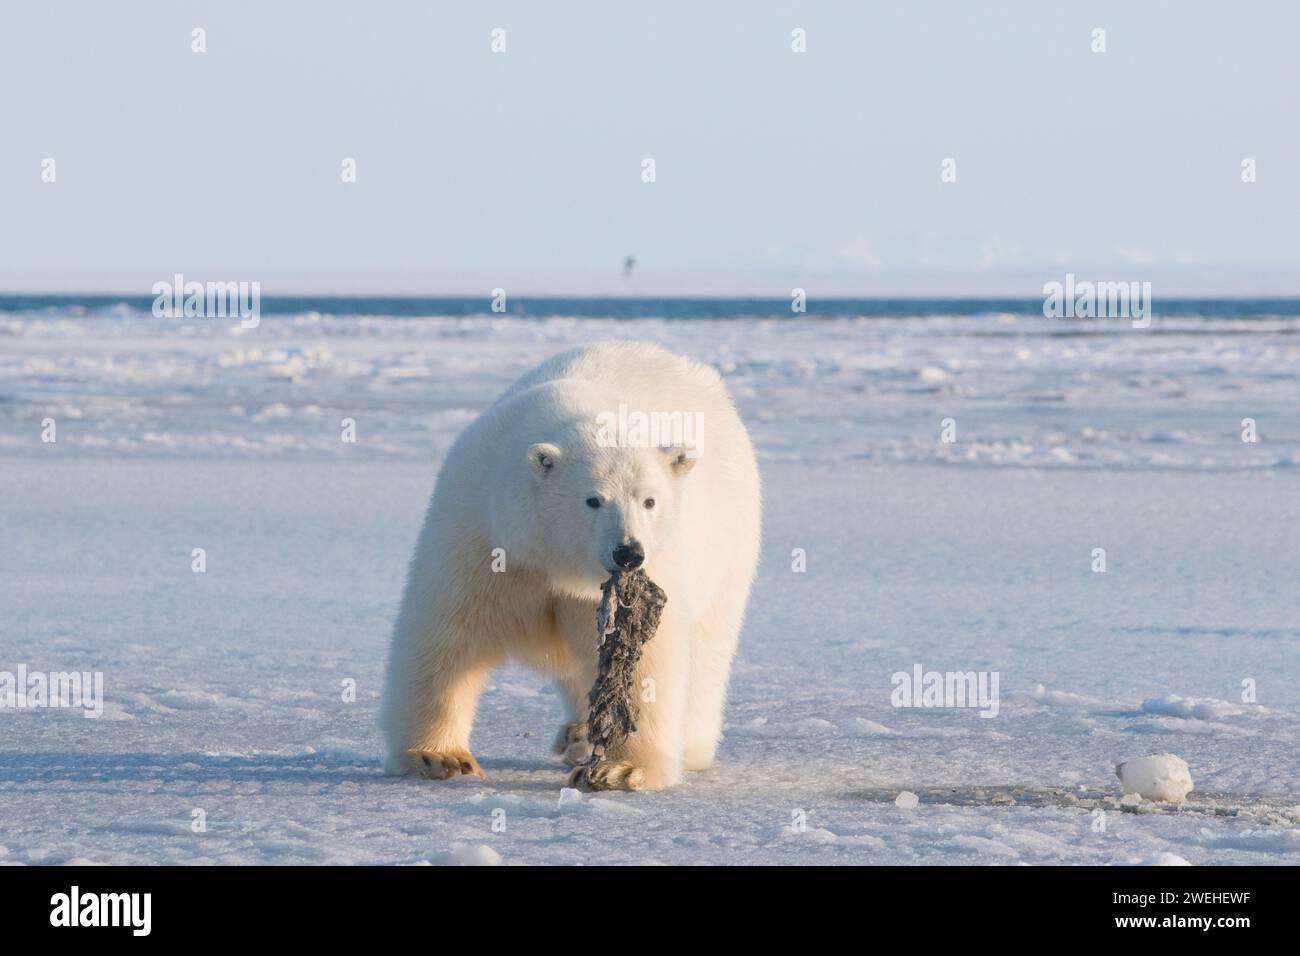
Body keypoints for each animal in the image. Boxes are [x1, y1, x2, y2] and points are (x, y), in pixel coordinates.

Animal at [380, 341, 761, 791]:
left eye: (649, 500)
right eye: (593, 499)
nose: (628, 552)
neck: (557, 562)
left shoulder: (658, 564)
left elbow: (644, 663)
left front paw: (621, 769)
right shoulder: (484, 530)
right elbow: (447, 632)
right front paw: (438, 758)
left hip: (730, 544)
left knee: (707, 650)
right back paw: (578, 733)